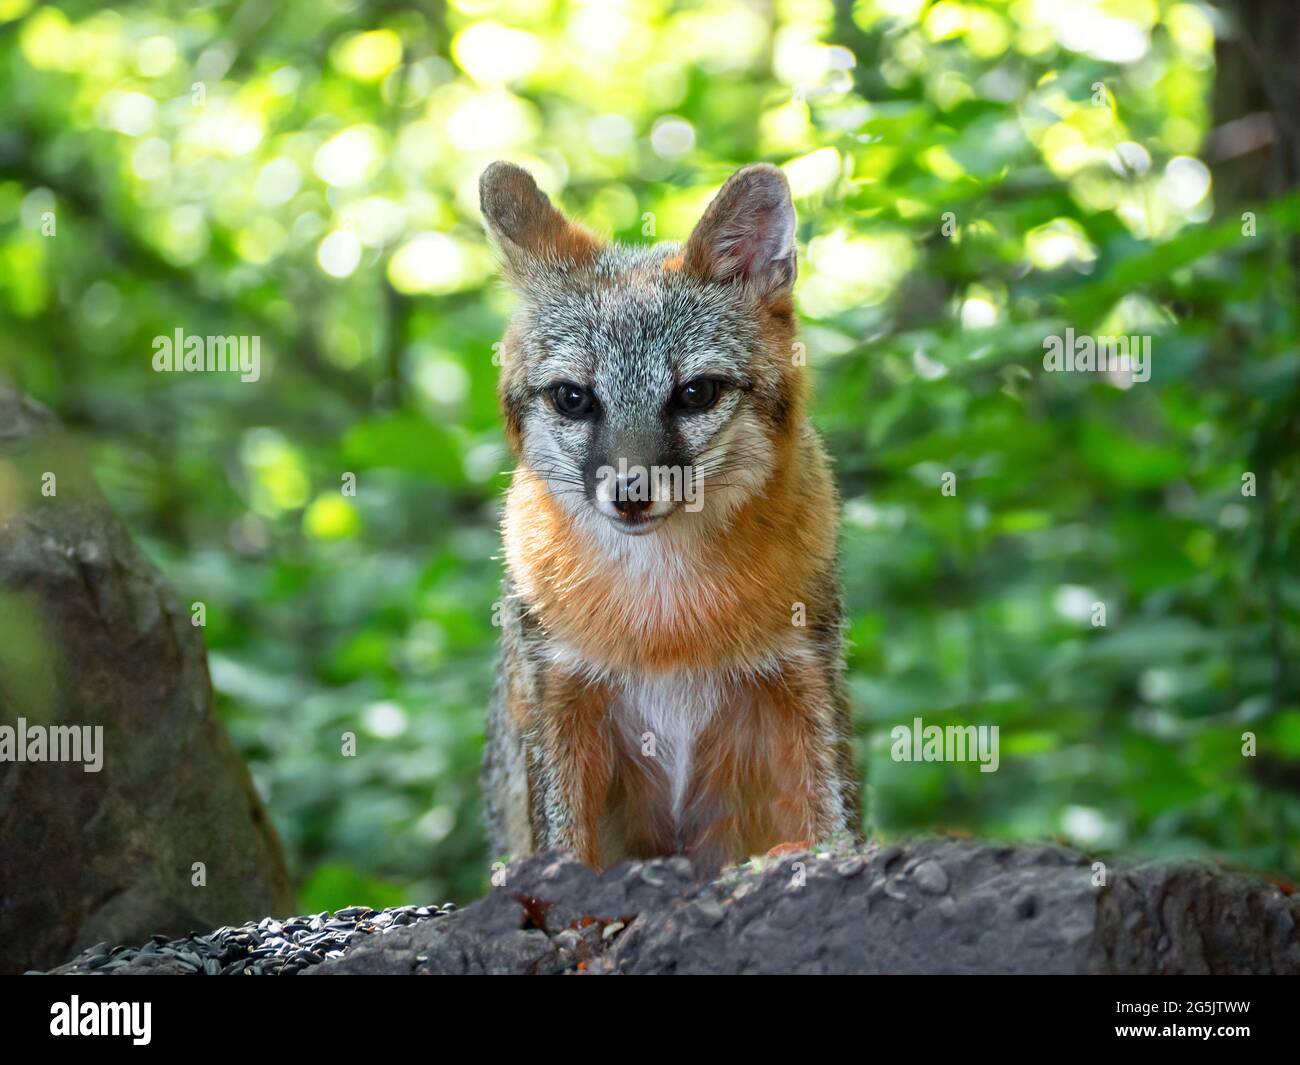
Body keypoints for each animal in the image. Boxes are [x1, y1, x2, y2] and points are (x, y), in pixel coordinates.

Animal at [479, 159, 859, 874]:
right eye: (573, 398)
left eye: (696, 394)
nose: (630, 493)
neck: (667, 619)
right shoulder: (558, 693)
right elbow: (564, 842)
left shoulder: (803, 674)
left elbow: (833, 818)